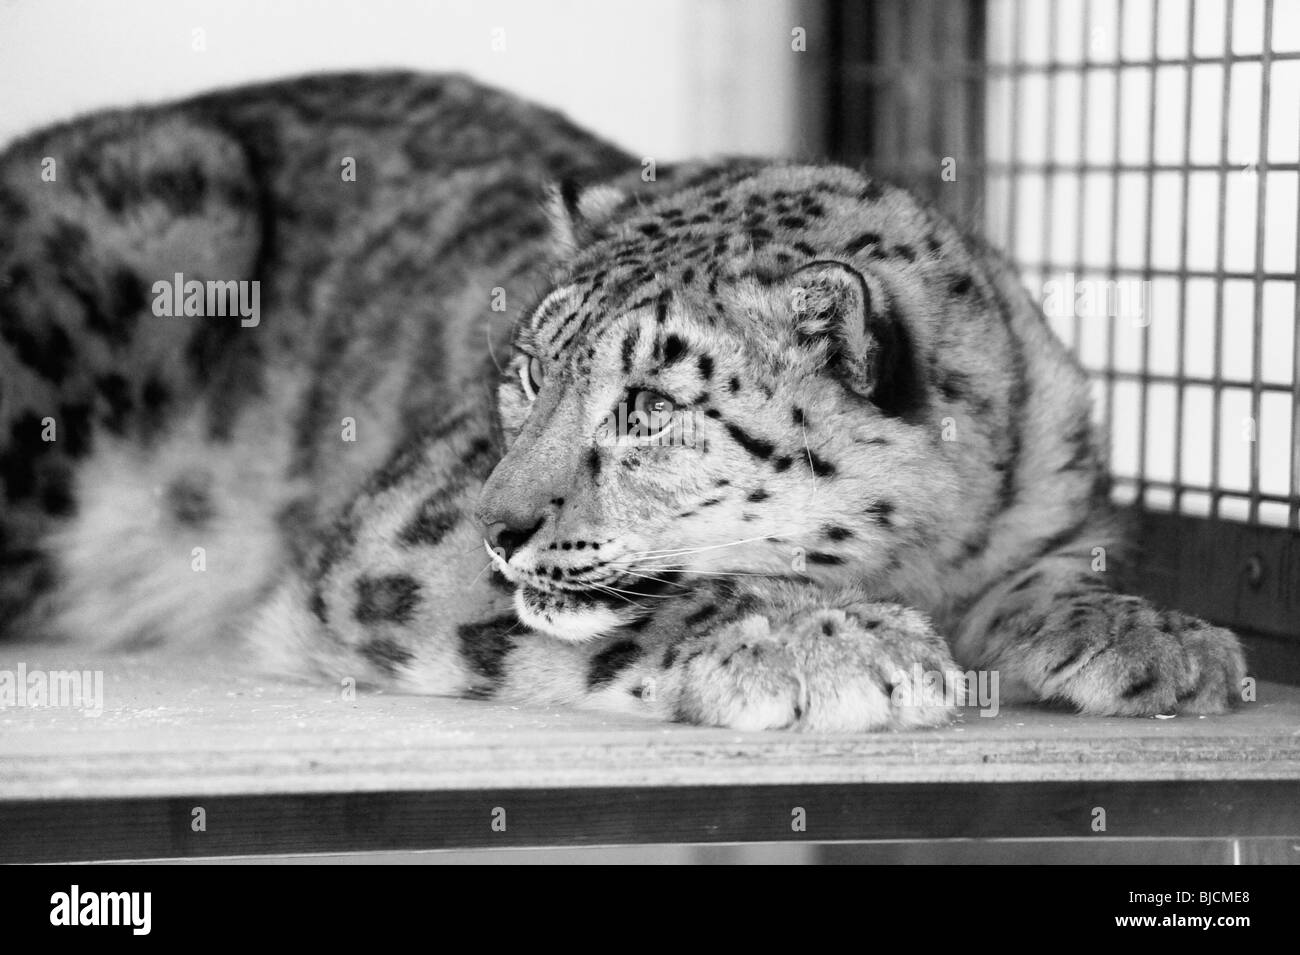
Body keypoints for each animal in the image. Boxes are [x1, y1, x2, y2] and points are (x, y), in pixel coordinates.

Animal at [0, 71, 1246, 731]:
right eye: (523, 373)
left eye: (646, 406)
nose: (499, 525)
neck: (928, 559)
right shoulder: (401, 536)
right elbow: (665, 603)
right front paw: (829, 642)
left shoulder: (1043, 501)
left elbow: (1048, 571)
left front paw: (1148, 636)